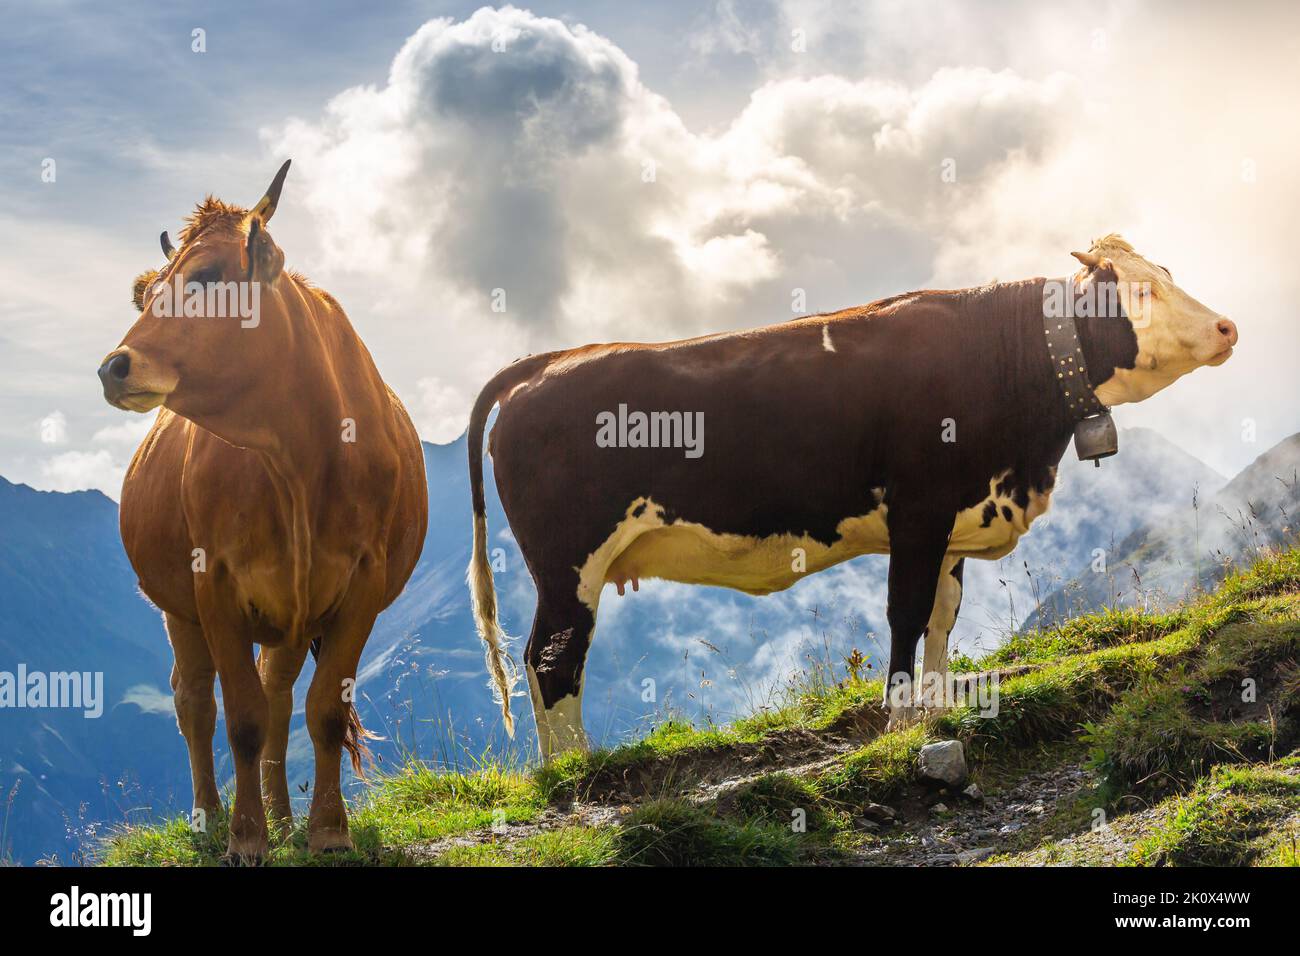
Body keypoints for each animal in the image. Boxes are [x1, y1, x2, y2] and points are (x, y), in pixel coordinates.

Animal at [98, 162, 428, 862]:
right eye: (149, 293)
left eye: (206, 277)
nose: (114, 367)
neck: (298, 457)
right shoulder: (214, 581)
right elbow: (241, 718)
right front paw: (246, 838)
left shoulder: (362, 580)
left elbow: (322, 710)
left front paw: (326, 830)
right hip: (177, 605)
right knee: (195, 700)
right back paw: (213, 818)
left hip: (291, 615)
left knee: (278, 696)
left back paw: (282, 815)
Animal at [466, 235, 1237, 759]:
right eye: (1140, 293)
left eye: (1167, 277)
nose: (1228, 326)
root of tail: (545, 364)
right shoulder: (919, 510)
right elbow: (905, 613)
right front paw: (898, 724)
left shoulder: (955, 520)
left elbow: (942, 618)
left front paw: (936, 711)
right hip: (568, 560)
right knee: (551, 658)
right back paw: (576, 773)